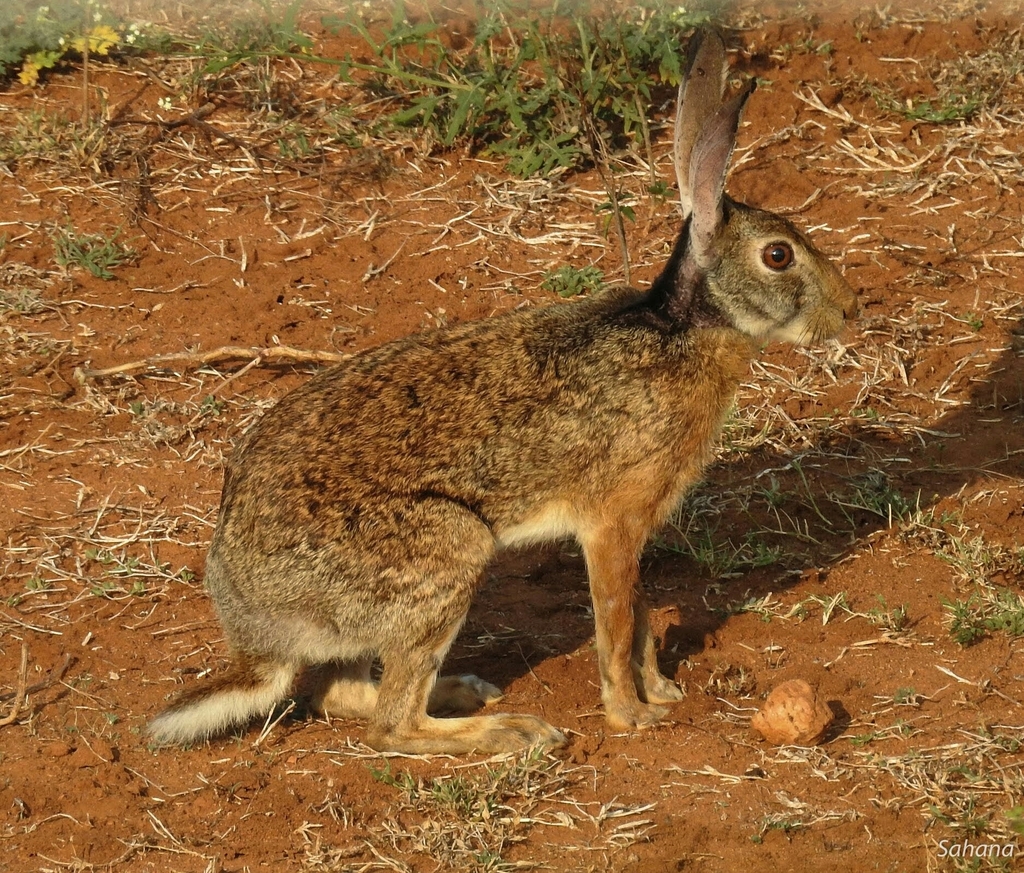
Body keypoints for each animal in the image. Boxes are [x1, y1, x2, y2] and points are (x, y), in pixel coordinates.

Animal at [148, 29, 858, 754]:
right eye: (778, 256)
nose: (848, 308)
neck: (682, 330)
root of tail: (254, 630)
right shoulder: (613, 520)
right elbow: (616, 620)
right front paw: (633, 714)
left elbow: (639, 613)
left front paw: (661, 690)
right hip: (445, 550)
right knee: (391, 723)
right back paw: (510, 729)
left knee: (339, 693)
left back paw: (467, 690)